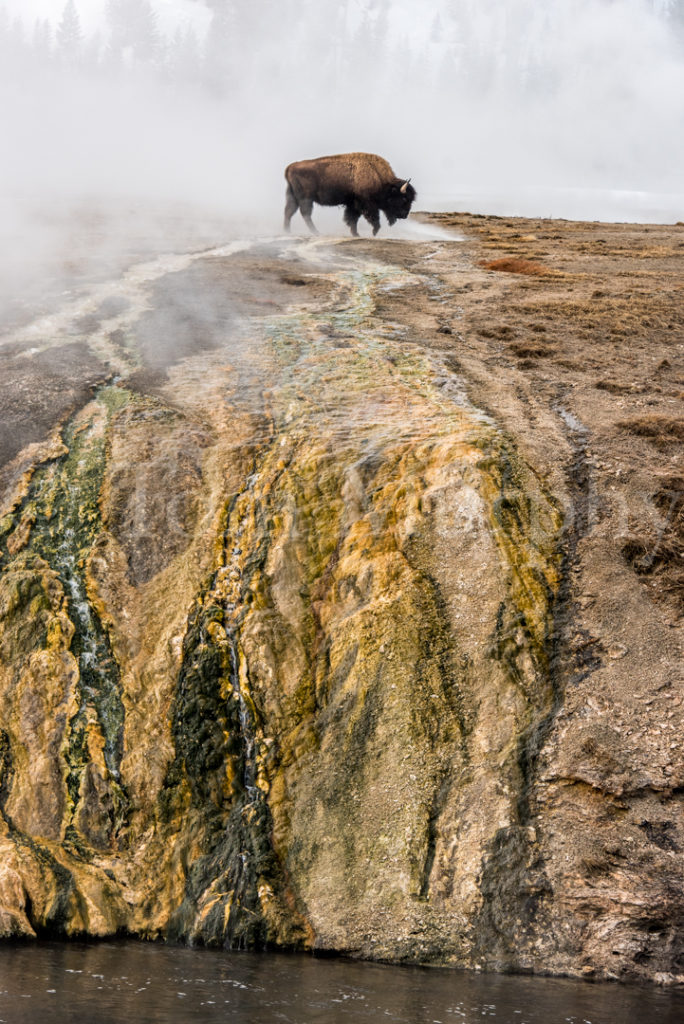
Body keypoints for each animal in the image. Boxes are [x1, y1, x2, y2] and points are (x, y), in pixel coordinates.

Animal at [284, 152, 417, 237]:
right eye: (404, 199)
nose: (405, 215)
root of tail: (291, 167)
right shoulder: (365, 203)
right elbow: (371, 217)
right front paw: (374, 232)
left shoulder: (353, 204)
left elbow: (353, 218)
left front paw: (355, 234)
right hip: (306, 198)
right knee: (305, 214)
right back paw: (316, 232)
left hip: (293, 197)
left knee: (289, 212)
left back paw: (288, 231)